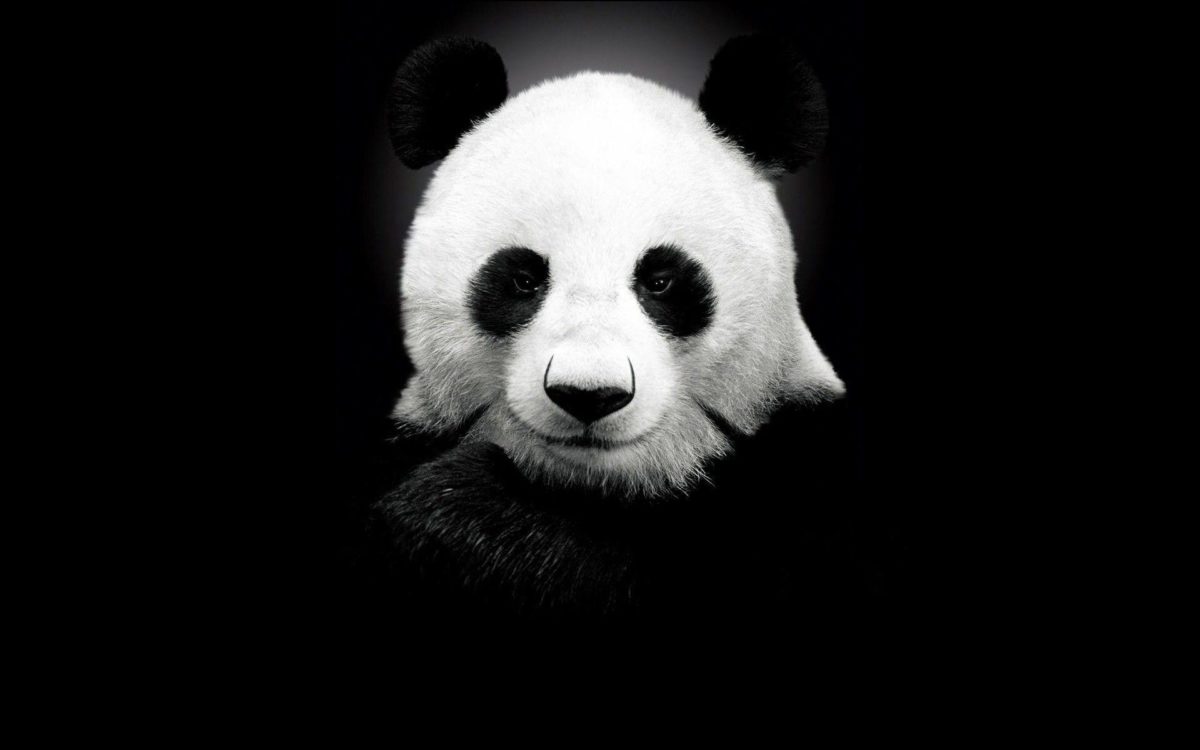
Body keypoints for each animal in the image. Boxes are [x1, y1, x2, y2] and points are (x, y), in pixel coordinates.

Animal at [363, 35, 877, 622]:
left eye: (660, 281)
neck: (598, 486)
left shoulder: (806, 473)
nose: (589, 395)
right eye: (522, 280)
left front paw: (455, 512)